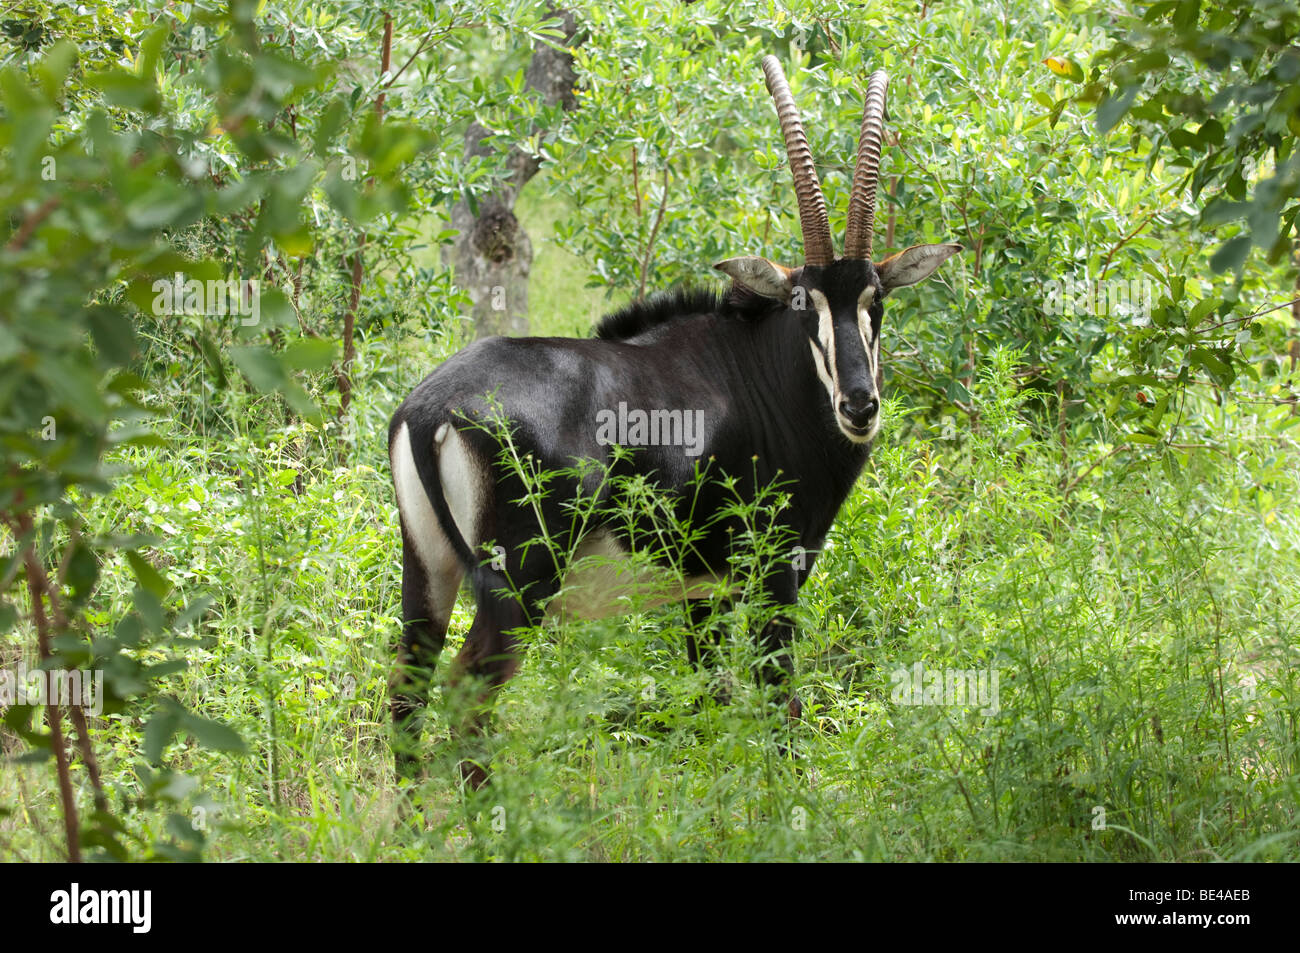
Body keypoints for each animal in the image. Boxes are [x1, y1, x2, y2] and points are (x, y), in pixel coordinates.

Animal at [389, 55, 961, 786]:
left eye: (875, 298)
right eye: (803, 303)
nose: (859, 405)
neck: (756, 372)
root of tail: (431, 408)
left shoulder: (701, 593)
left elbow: (709, 697)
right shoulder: (774, 573)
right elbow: (780, 703)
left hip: (427, 567)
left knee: (407, 689)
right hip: (517, 584)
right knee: (468, 694)